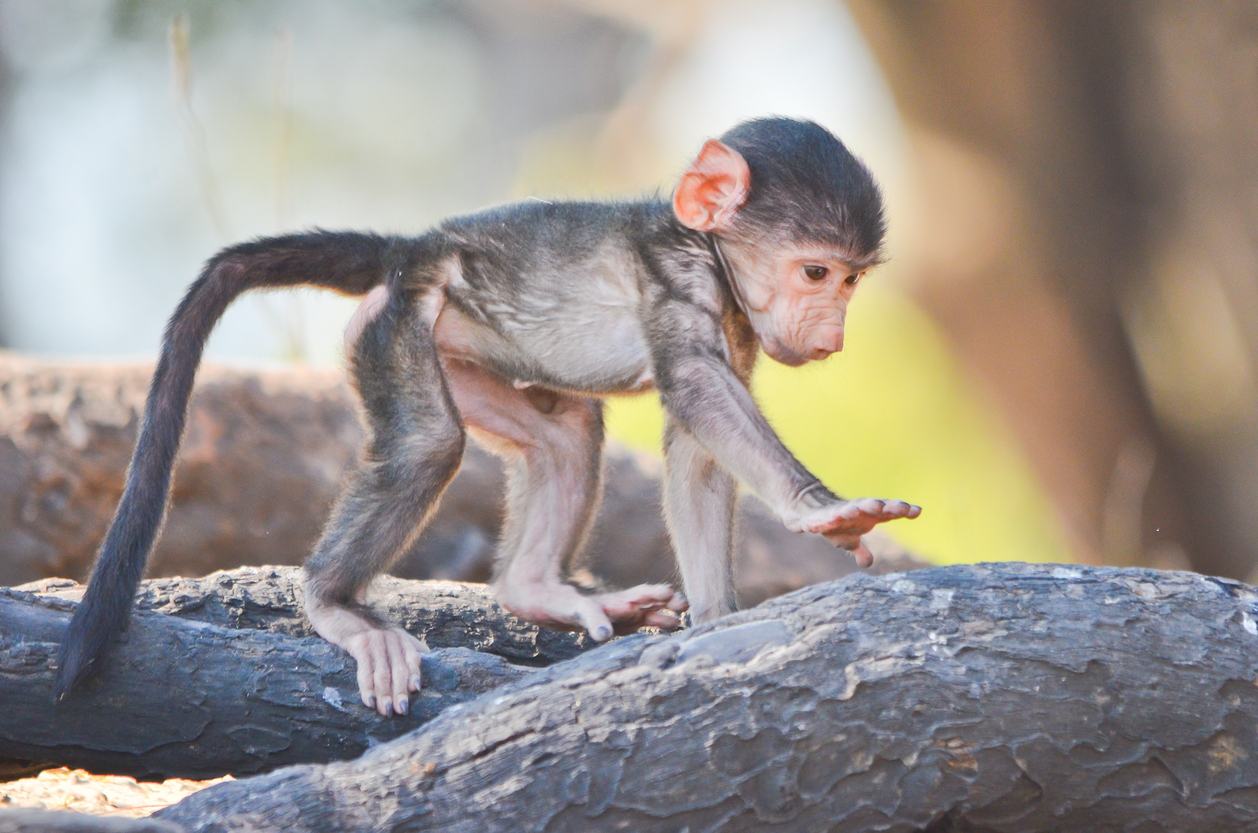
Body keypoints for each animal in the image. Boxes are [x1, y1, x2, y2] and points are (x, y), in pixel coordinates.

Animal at [54, 117, 921, 715]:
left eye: (850, 280)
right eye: (816, 273)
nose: (834, 335)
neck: (706, 249)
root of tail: (409, 249)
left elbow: (698, 446)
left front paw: (715, 620)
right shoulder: (681, 284)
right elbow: (698, 393)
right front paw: (826, 511)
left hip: (458, 346)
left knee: (567, 432)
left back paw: (534, 589)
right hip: (399, 325)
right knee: (431, 445)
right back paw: (335, 604)